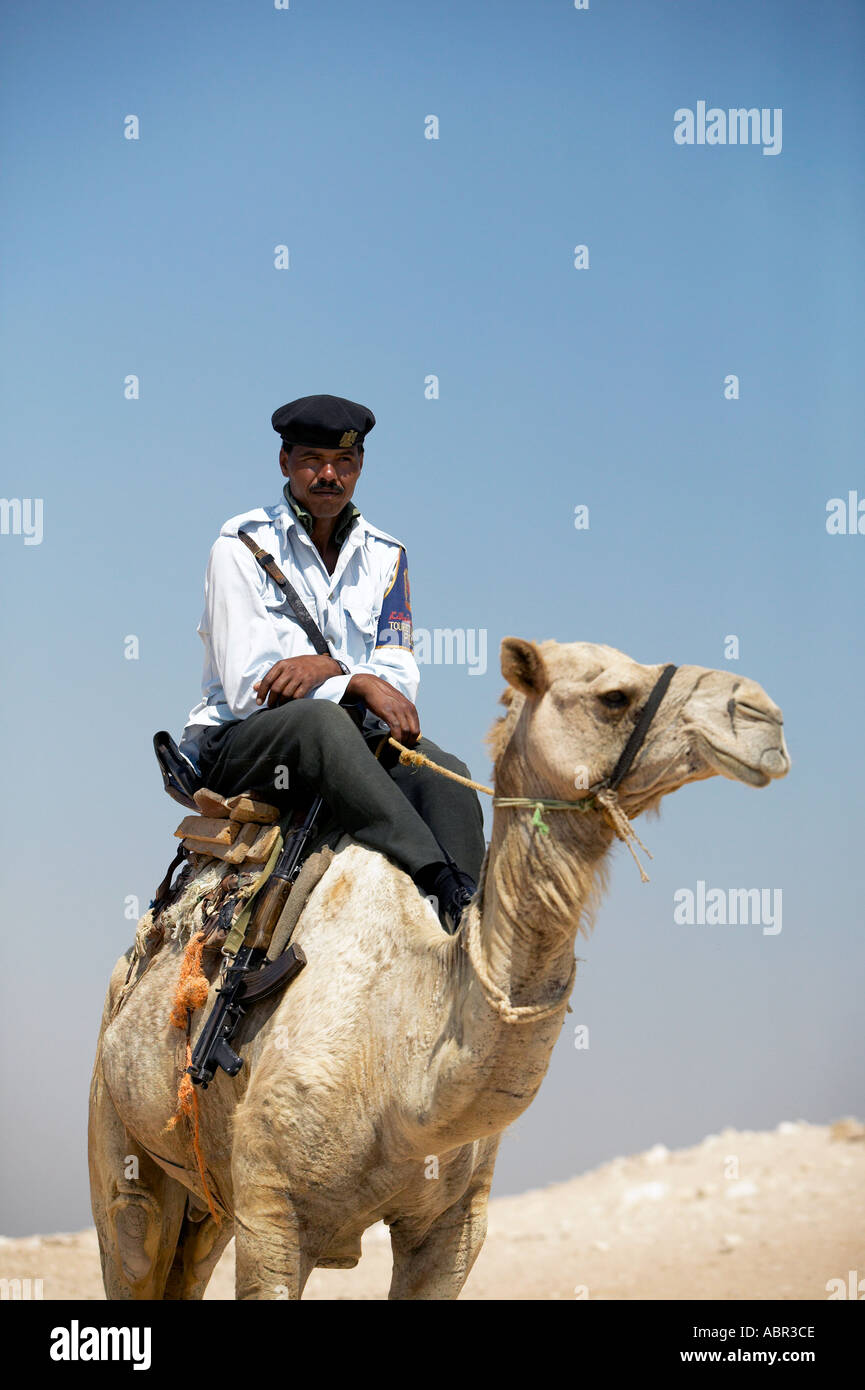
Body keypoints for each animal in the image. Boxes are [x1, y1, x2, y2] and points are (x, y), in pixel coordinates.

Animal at [89, 638, 789, 1300]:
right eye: (613, 697)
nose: (764, 715)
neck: (406, 1068)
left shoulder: (455, 1224)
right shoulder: (271, 1209)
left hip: (207, 1200)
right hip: (122, 1146)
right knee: (133, 1241)